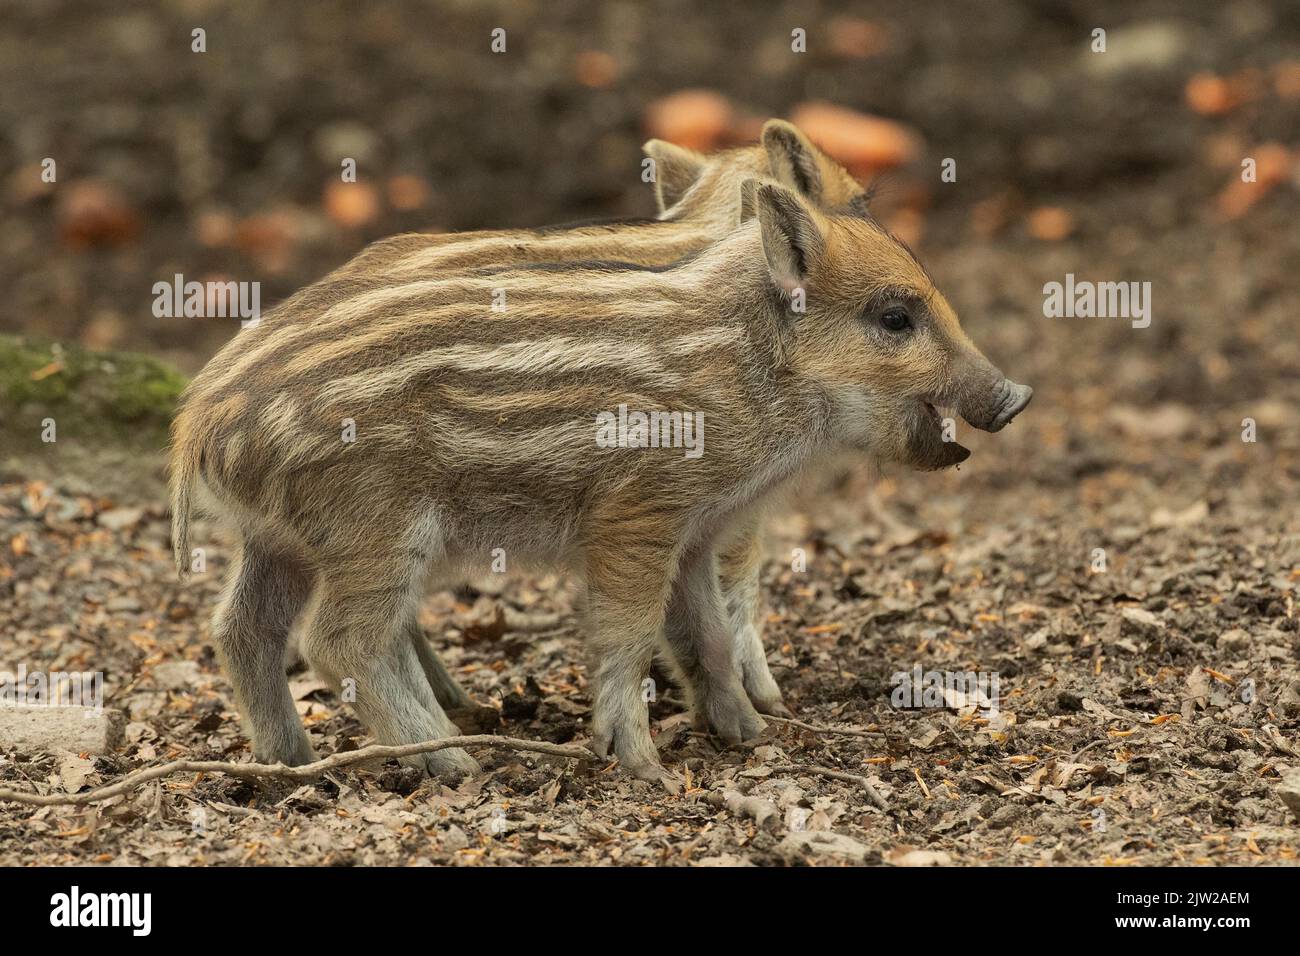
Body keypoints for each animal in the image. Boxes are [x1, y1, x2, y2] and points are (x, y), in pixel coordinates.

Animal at [169, 179, 1031, 784]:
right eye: (895, 319)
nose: (1015, 397)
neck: (748, 369)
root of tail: (198, 424)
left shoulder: (695, 531)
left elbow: (705, 634)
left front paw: (748, 734)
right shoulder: (636, 515)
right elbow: (629, 634)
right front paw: (644, 766)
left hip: (278, 539)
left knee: (243, 628)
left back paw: (290, 765)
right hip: (375, 525)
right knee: (340, 639)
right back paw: (452, 761)